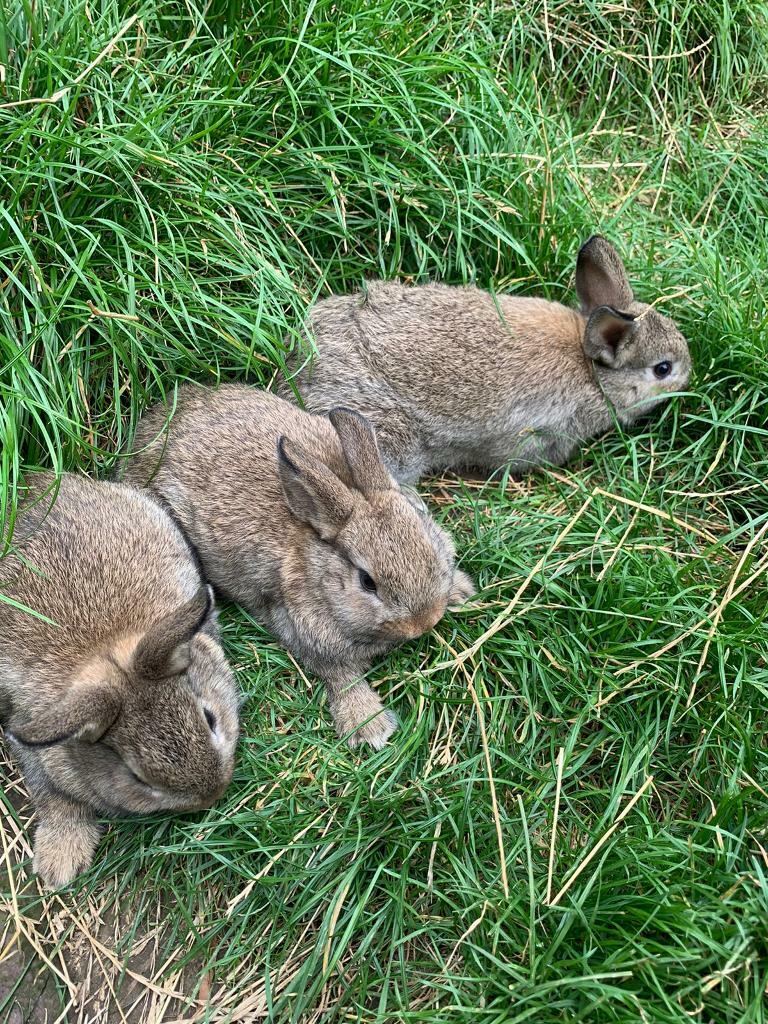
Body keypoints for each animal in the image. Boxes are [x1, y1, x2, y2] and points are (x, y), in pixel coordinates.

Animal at [0, 473, 240, 889]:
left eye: (210, 719)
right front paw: (61, 861)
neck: (106, 653)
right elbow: (51, 792)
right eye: (137, 778)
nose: (212, 795)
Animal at [119, 385, 475, 750]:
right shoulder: (305, 632)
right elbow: (340, 675)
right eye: (367, 582)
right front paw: (369, 728)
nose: (425, 621)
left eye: (427, 538)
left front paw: (461, 591)